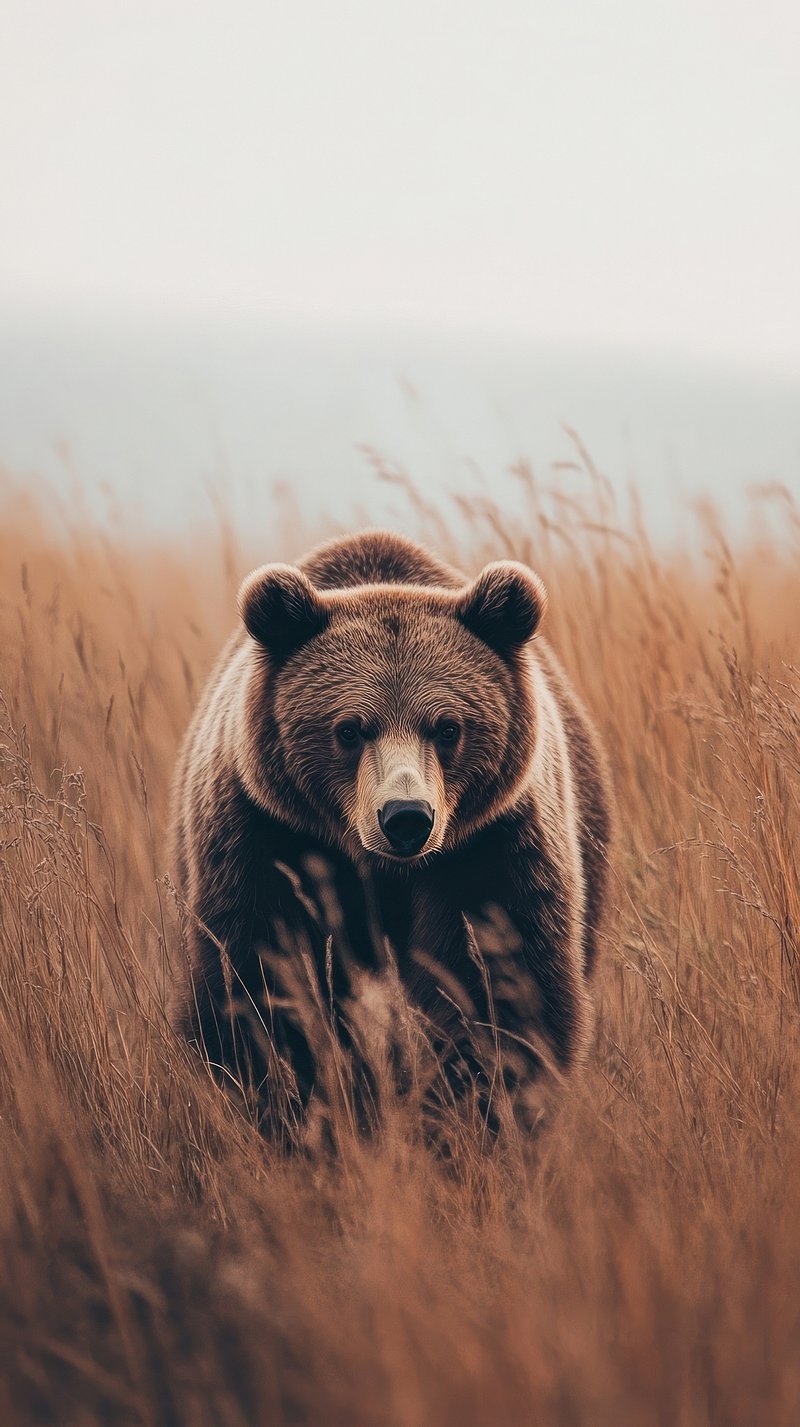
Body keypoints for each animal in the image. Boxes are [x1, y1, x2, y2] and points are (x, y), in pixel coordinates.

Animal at [170, 530, 612, 1138]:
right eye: (349, 729)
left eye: (448, 727)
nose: (405, 816)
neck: (379, 868)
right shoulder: (265, 835)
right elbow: (260, 980)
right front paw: (295, 1109)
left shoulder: (491, 847)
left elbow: (498, 988)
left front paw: (472, 1116)